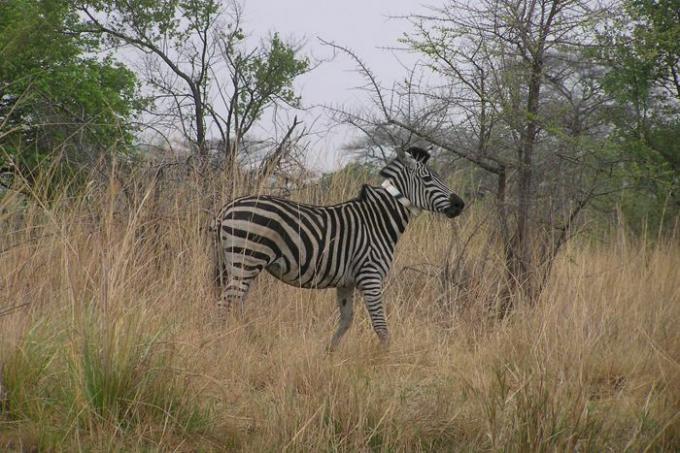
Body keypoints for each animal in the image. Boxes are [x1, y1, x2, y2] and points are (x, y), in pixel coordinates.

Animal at [215, 147, 464, 348]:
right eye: (427, 178)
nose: (460, 204)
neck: (379, 220)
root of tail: (225, 209)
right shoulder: (371, 275)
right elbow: (380, 326)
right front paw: (386, 359)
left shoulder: (347, 282)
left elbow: (346, 320)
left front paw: (329, 353)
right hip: (246, 261)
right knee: (226, 305)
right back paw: (222, 345)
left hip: (241, 264)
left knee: (236, 306)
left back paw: (254, 341)